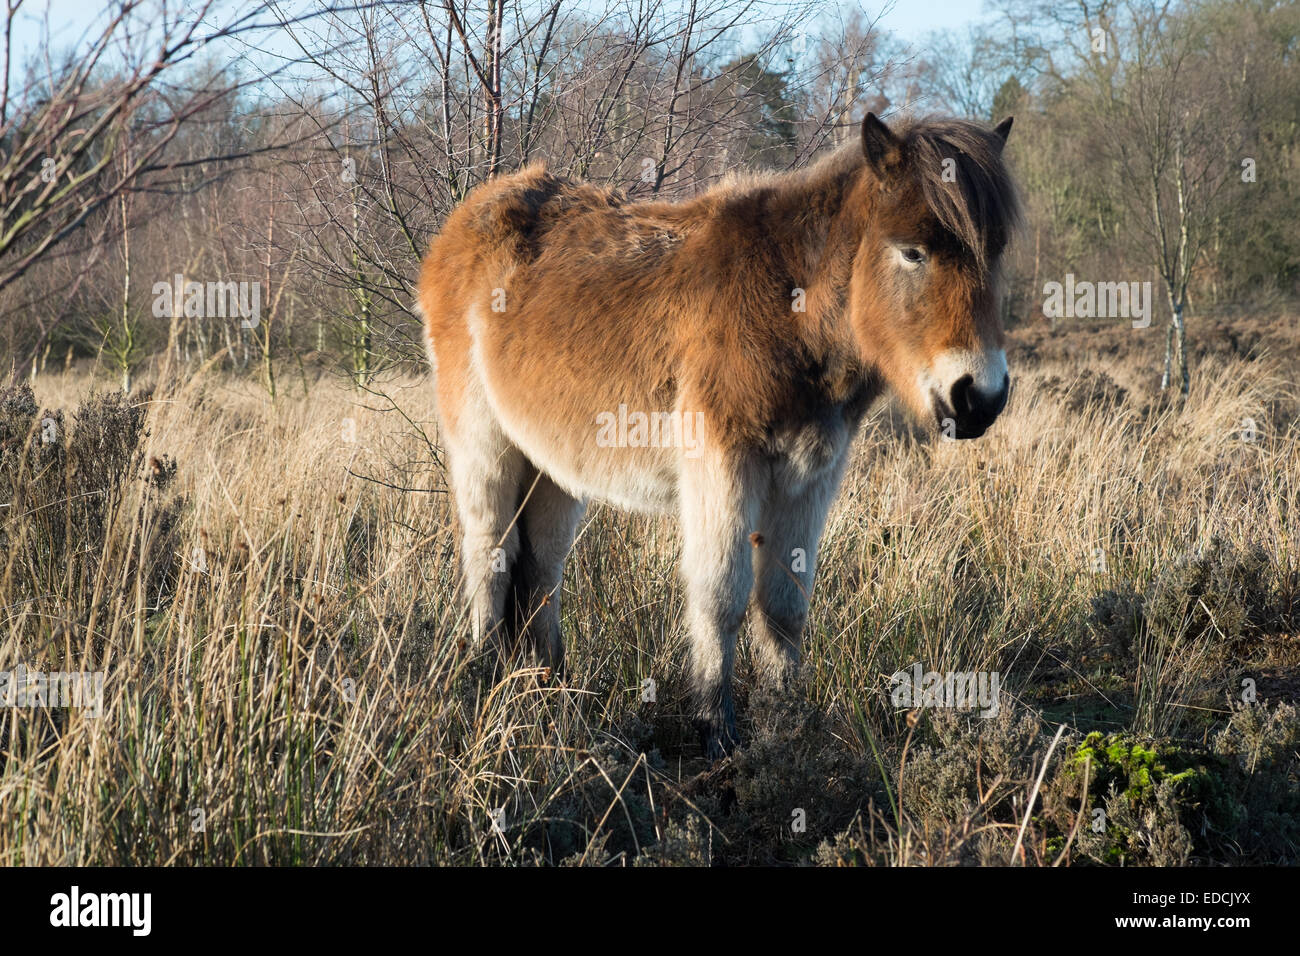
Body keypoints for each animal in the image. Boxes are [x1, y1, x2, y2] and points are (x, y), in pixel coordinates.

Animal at [417, 112, 1020, 758]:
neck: (788, 307)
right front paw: (715, 728)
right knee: (491, 554)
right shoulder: (723, 464)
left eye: (995, 255)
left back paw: (550, 687)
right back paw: (487, 675)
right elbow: (721, 597)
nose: (980, 398)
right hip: (486, 447)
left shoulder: (811, 476)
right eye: (912, 252)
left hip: (552, 465)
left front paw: (789, 721)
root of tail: (464, 221)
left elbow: (785, 604)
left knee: (541, 571)